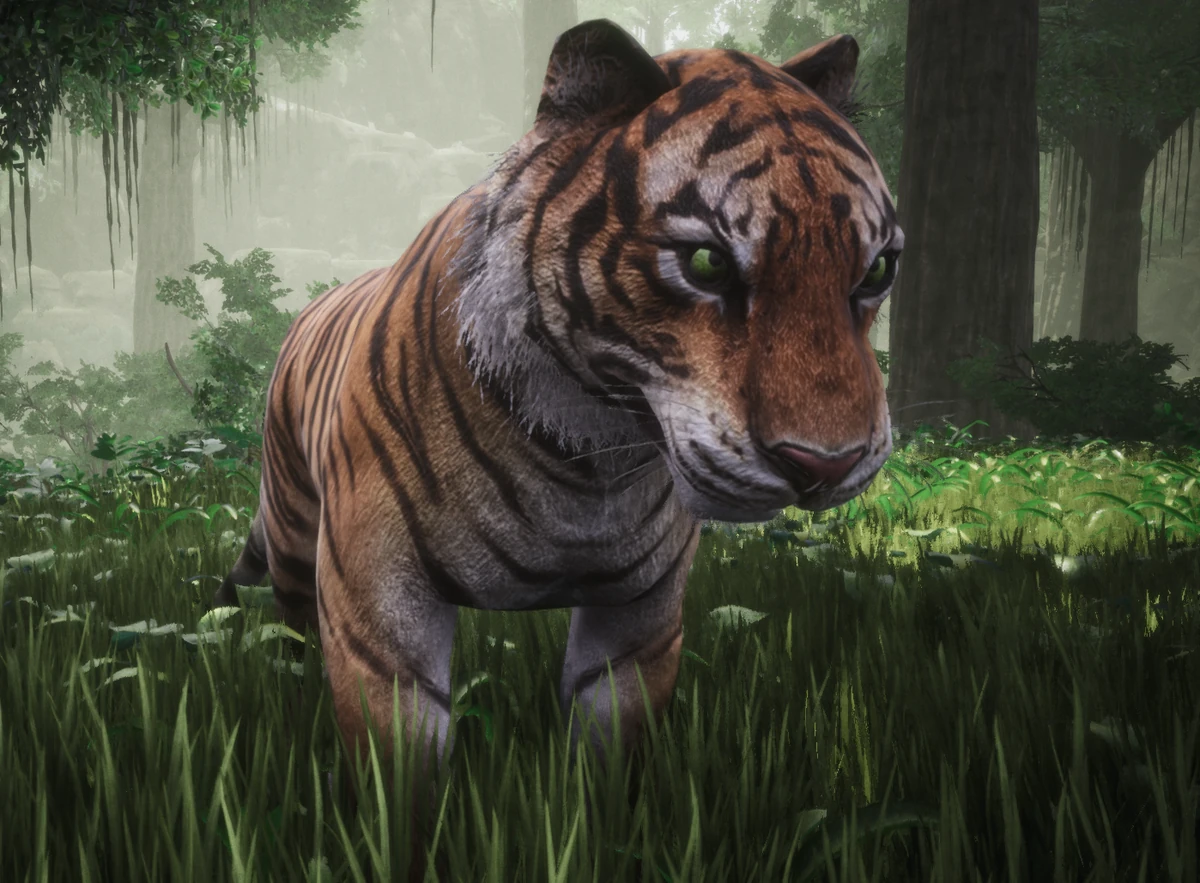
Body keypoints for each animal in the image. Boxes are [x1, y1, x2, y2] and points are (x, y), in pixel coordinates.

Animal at [215, 15, 899, 831]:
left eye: (876, 272)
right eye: (706, 262)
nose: (827, 463)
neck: (590, 457)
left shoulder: (638, 620)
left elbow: (608, 753)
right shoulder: (379, 612)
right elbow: (401, 781)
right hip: (294, 537)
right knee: (284, 633)